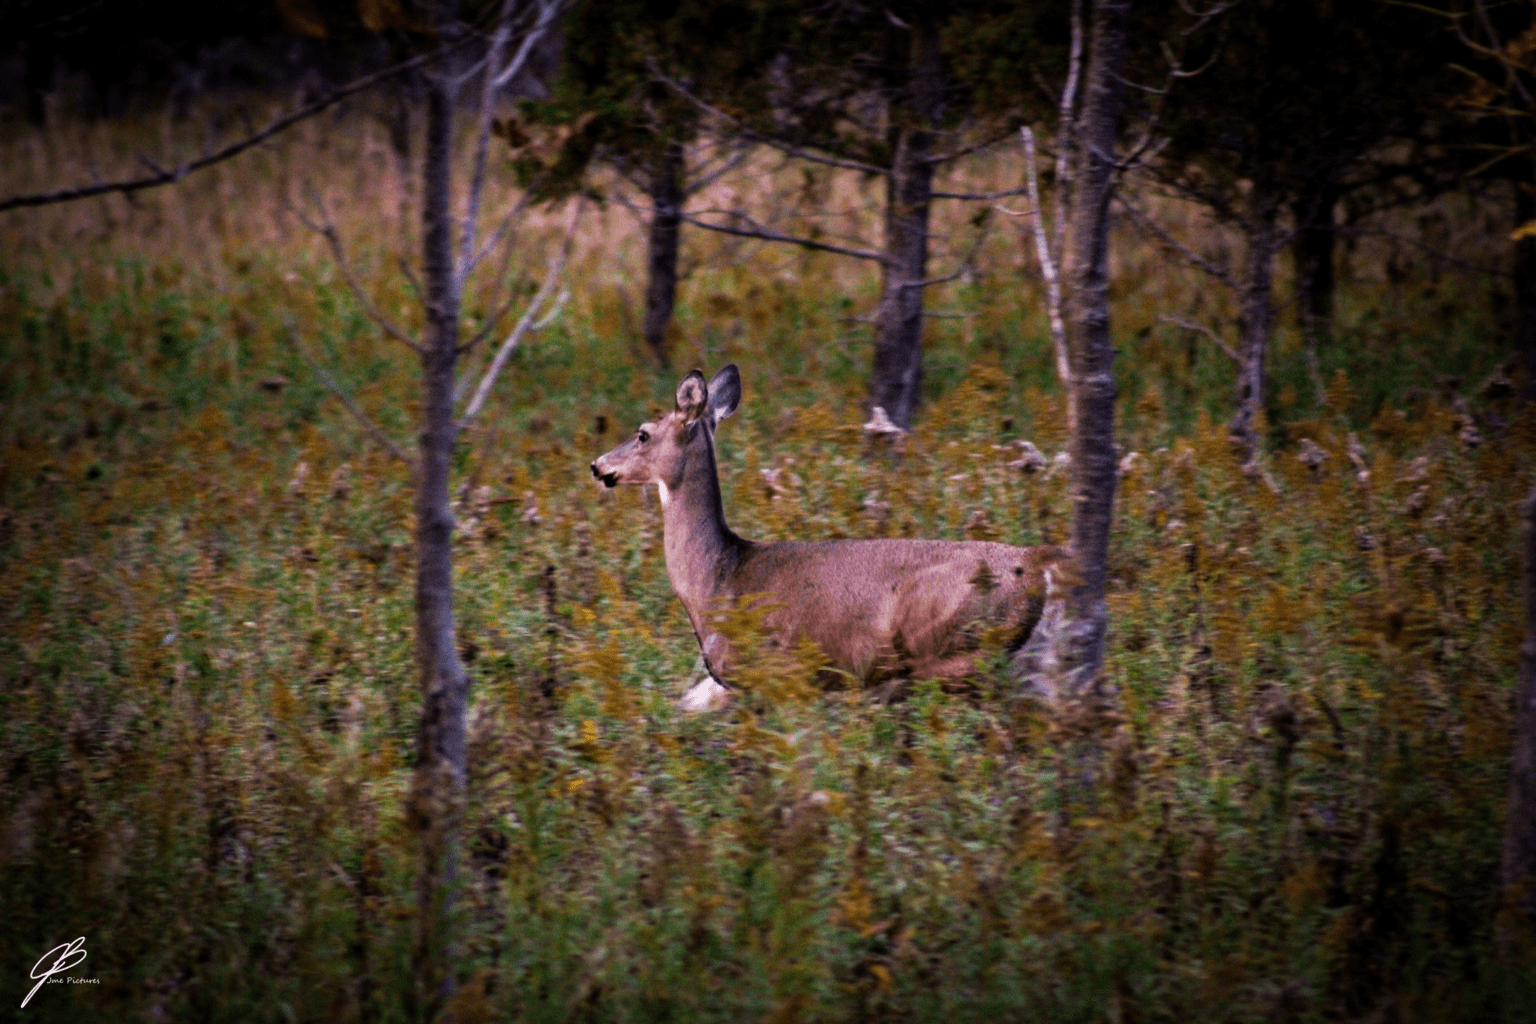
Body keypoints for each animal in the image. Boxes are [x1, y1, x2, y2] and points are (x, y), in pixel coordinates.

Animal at [590, 365, 1061, 710]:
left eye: (643, 433)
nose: (598, 465)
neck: (718, 580)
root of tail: (1035, 561)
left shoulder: (773, 673)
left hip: (956, 655)